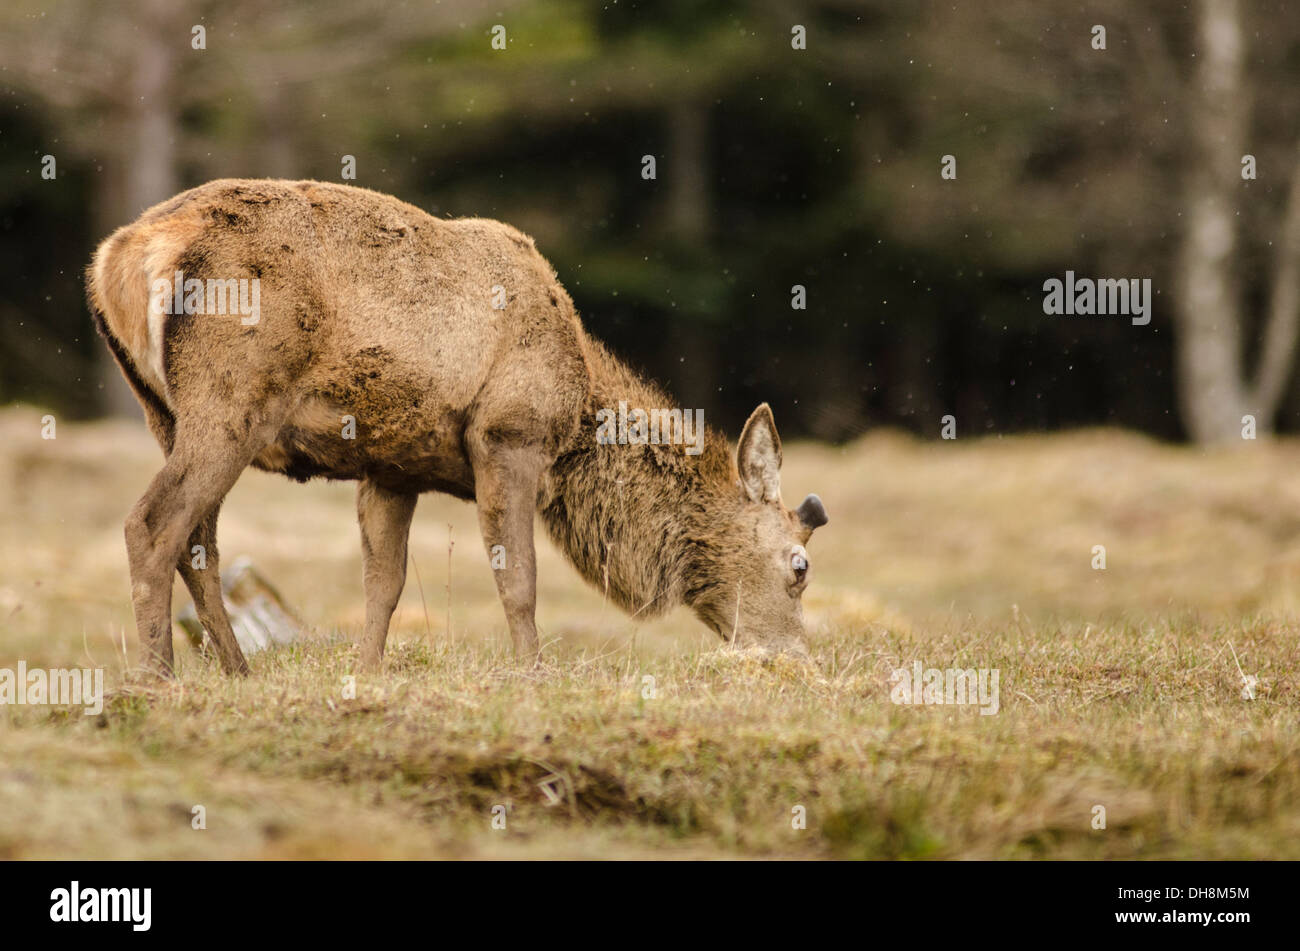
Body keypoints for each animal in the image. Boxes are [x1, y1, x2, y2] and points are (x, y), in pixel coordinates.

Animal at [87, 179, 828, 677]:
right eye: (799, 565)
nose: (798, 659)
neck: (578, 423)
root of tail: (115, 261)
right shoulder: (508, 435)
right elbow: (518, 578)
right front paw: (533, 673)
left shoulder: (392, 466)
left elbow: (383, 582)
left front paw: (369, 671)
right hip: (231, 396)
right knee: (153, 522)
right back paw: (158, 676)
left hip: (164, 411)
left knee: (198, 541)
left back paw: (239, 670)